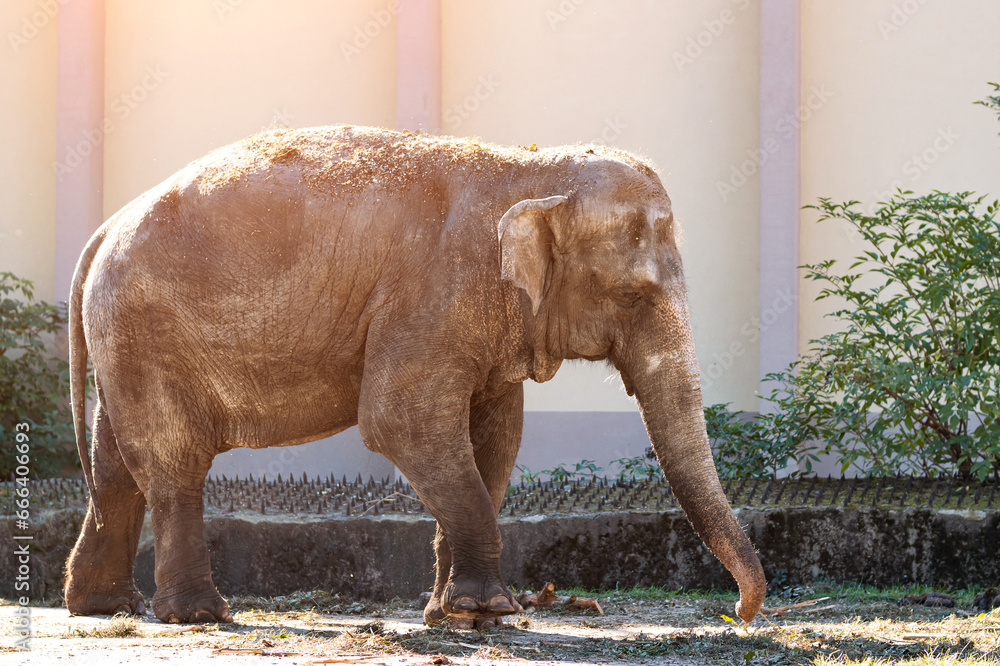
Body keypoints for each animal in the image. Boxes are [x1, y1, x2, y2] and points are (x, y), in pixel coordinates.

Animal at [63, 124, 766, 625]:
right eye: (632, 295)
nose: (737, 613)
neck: (531, 165)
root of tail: (103, 229)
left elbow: (495, 441)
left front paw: (453, 614)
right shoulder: (432, 296)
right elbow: (399, 421)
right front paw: (487, 609)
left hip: (124, 342)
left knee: (117, 468)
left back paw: (106, 607)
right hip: (145, 330)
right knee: (172, 461)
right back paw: (199, 616)